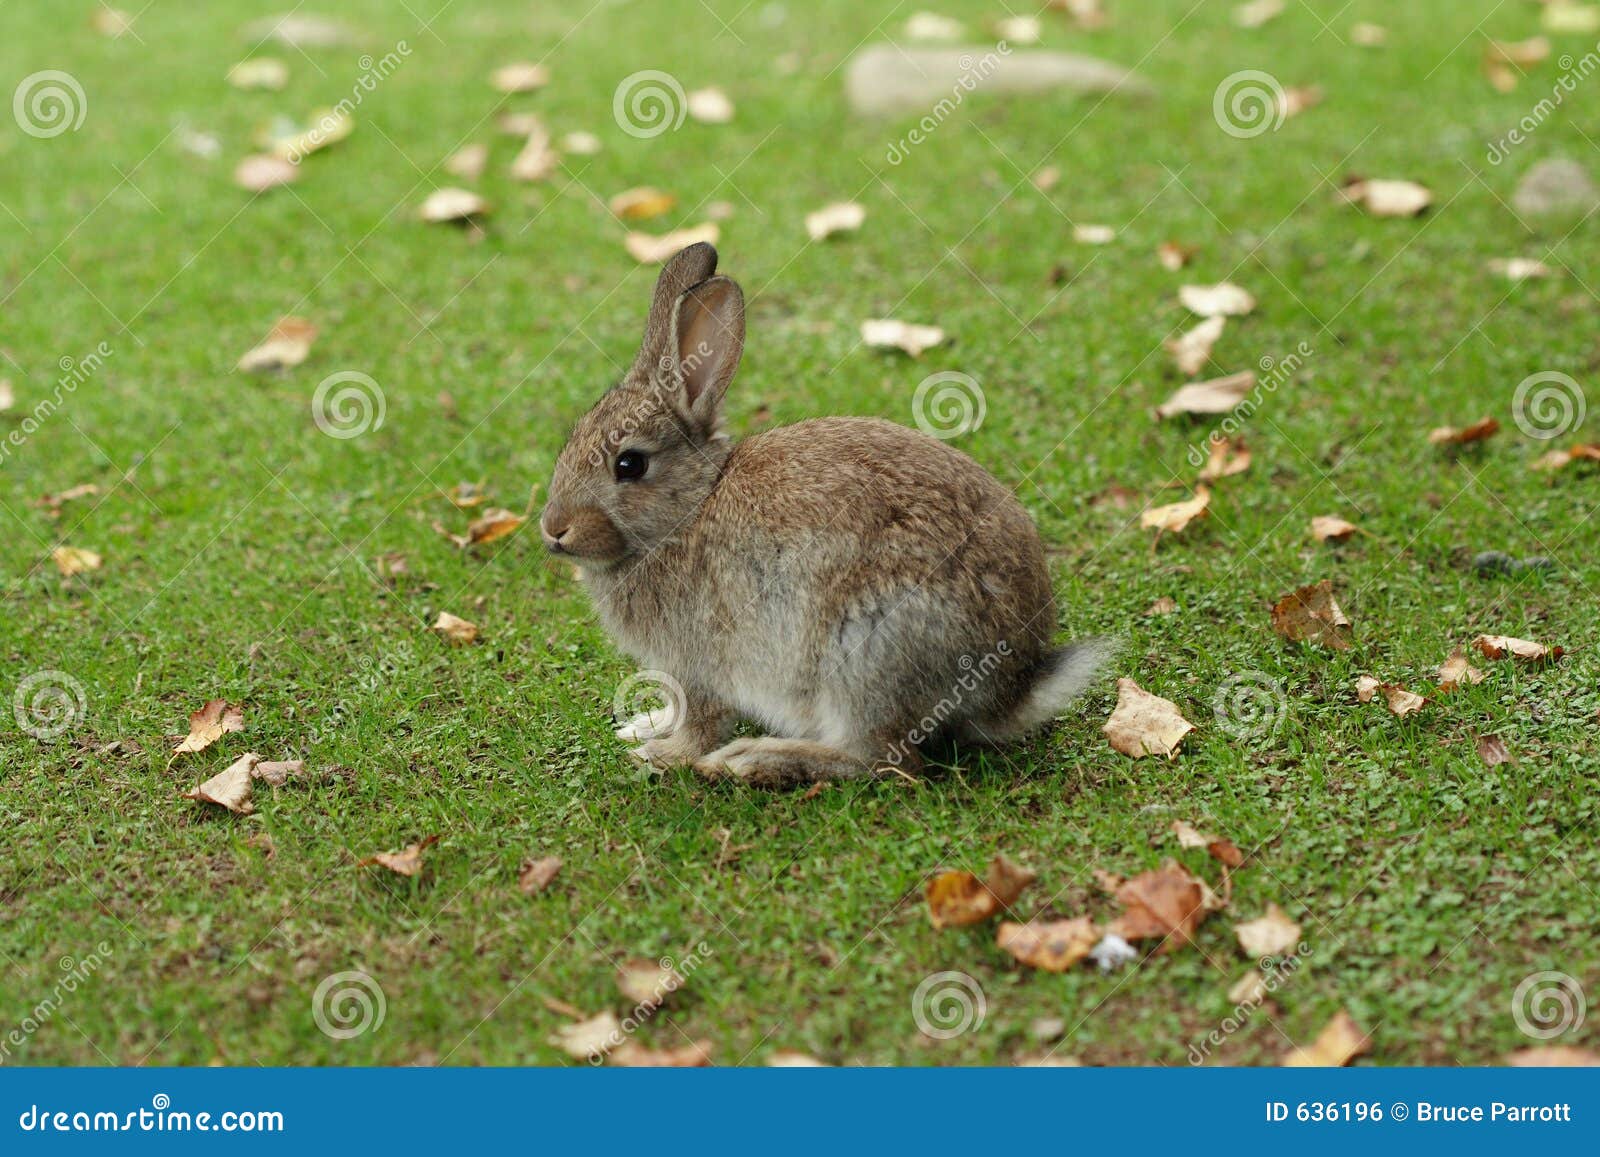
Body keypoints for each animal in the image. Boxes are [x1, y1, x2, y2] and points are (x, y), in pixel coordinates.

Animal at [539, 243, 1112, 787]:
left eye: (629, 464)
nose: (554, 529)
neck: (689, 509)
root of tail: (1012, 687)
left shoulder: (701, 662)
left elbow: (700, 719)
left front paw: (661, 754)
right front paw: (645, 725)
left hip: (865, 651)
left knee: (882, 760)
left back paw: (755, 760)